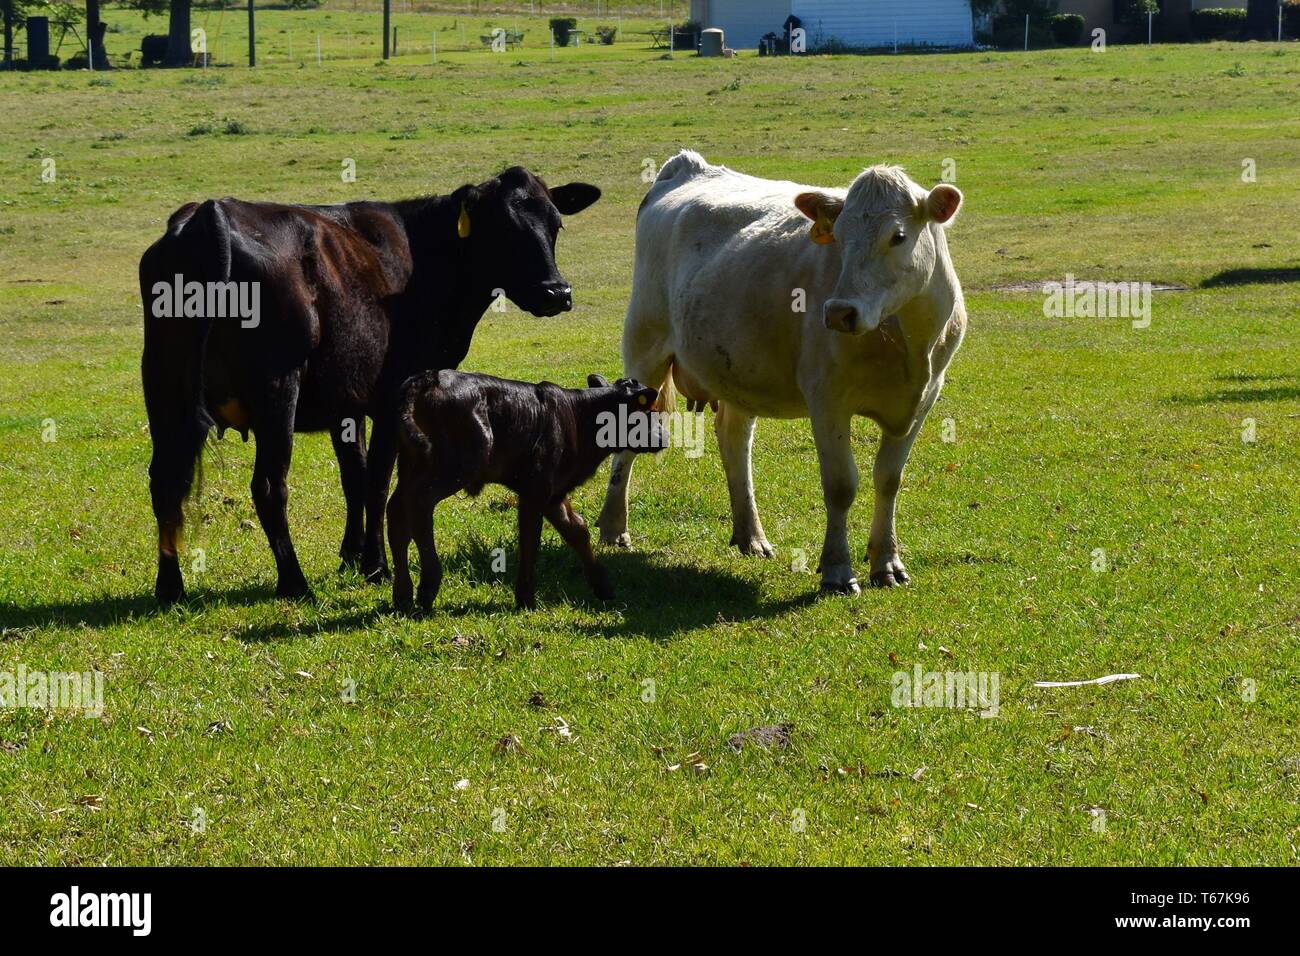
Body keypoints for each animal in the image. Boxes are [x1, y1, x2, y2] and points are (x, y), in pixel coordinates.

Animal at [140, 167, 600, 605]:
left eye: (555, 223)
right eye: (503, 227)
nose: (556, 292)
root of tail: (210, 213)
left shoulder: (346, 402)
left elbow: (354, 476)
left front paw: (351, 556)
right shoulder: (393, 395)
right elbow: (379, 481)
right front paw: (376, 564)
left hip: (163, 382)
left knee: (164, 482)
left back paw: (170, 587)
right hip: (277, 386)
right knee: (269, 485)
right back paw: (294, 583)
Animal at [387, 371, 666, 611]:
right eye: (648, 411)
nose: (664, 436)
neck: (578, 417)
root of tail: (432, 376)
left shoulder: (553, 493)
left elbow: (577, 530)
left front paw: (603, 586)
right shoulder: (535, 490)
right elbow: (530, 540)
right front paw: (525, 598)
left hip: (411, 465)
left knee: (396, 511)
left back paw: (402, 595)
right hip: (455, 466)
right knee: (420, 503)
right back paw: (428, 586)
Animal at [595, 150, 965, 594]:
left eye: (898, 236)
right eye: (838, 236)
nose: (839, 312)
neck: (905, 339)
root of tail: (688, 166)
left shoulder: (923, 400)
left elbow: (888, 480)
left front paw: (887, 563)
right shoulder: (827, 399)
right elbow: (841, 484)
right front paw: (837, 570)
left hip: (736, 368)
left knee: (734, 441)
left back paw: (751, 536)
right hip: (645, 345)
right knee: (627, 432)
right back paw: (613, 527)